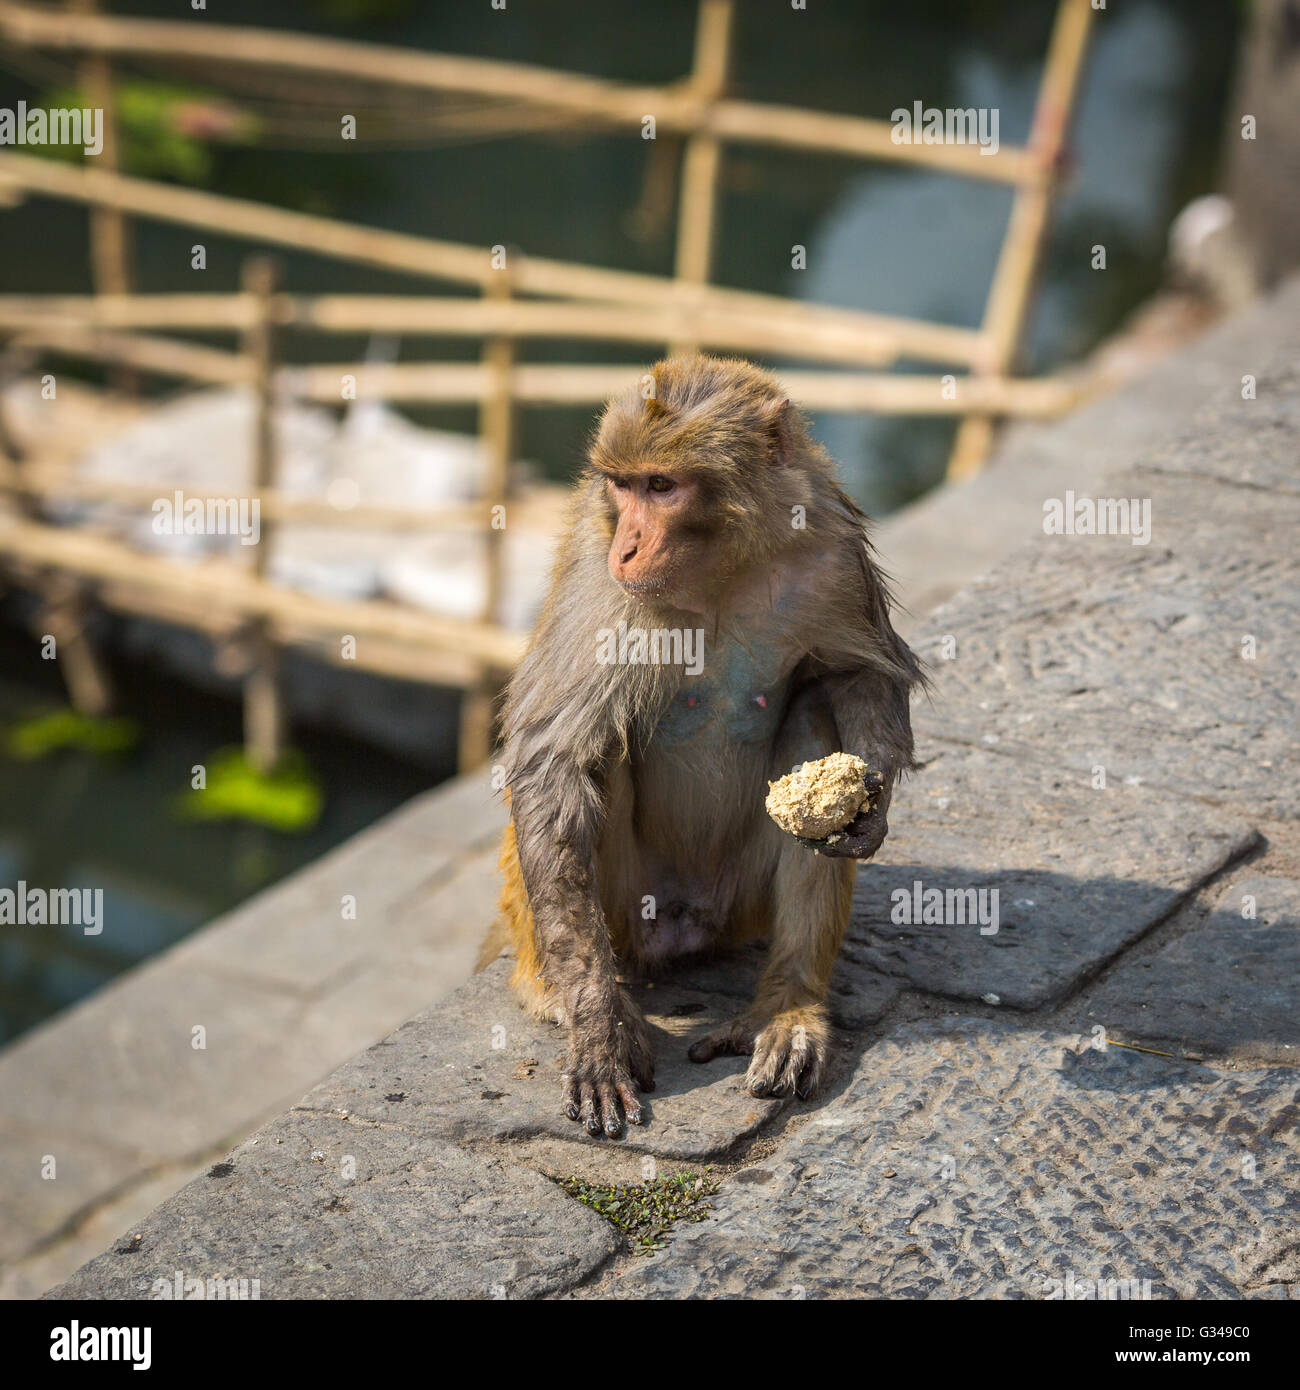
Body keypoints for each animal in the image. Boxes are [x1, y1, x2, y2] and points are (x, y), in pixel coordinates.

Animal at [476, 356, 924, 1138]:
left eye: (663, 485)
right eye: (623, 486)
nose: (628, 544)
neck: (720, 567)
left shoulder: (832, 545)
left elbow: (856, 672)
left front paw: (868, 804)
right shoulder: (597, 575)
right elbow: (552, 760)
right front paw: (599, 1030)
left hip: (740, 906)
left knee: (810, 712)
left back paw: (787, 1008)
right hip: (623, 913)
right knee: (600, 755)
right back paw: (564, 994)